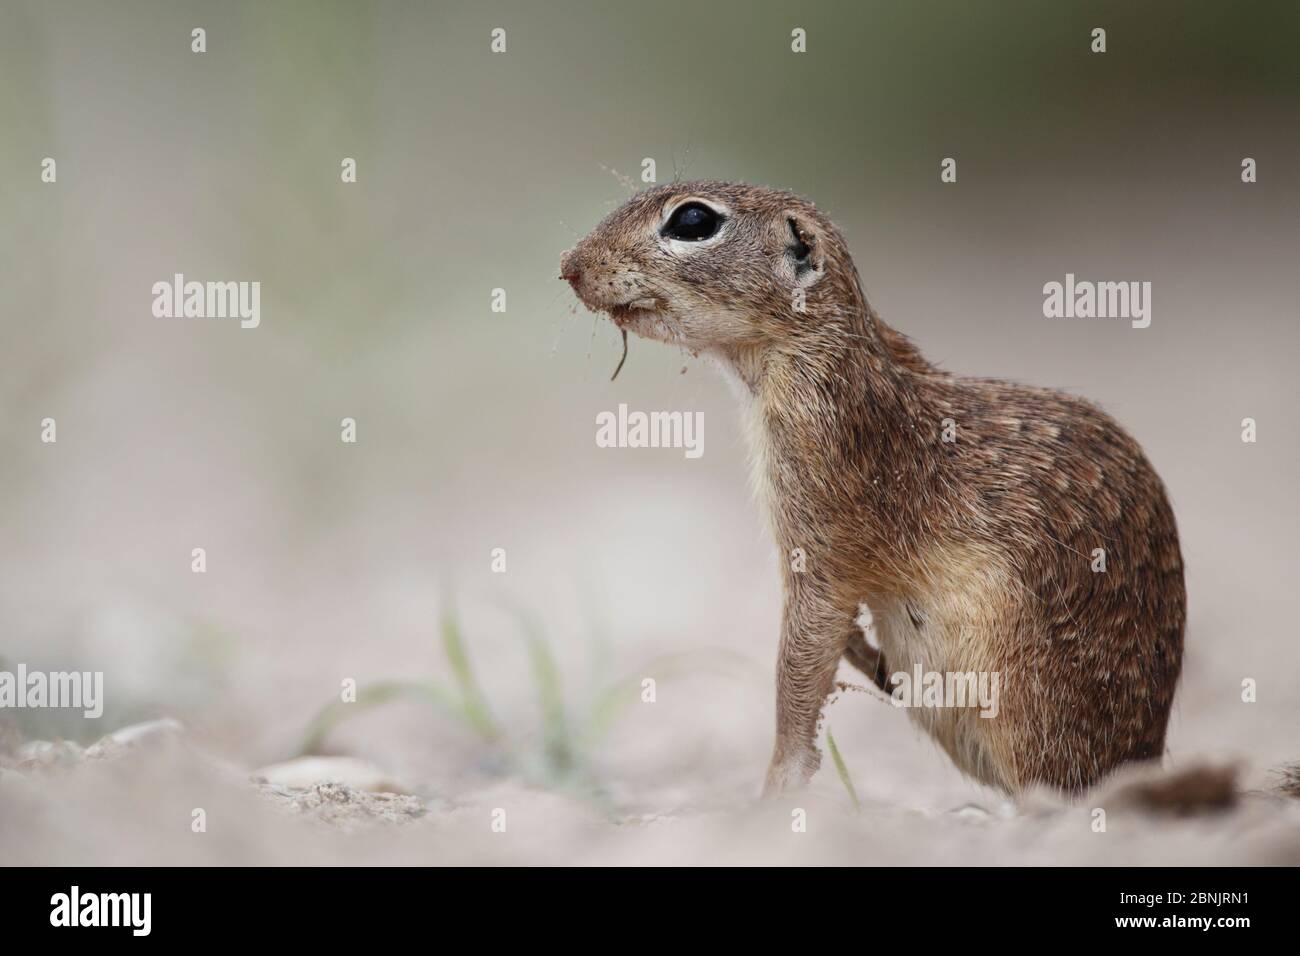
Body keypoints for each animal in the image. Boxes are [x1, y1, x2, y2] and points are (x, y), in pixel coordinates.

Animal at [561, 181, 1184, 797]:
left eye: (692, 221)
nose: (569, 266)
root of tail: (1143, 759)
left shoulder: (819, 530)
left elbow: (801, 663)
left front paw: (777, 788)